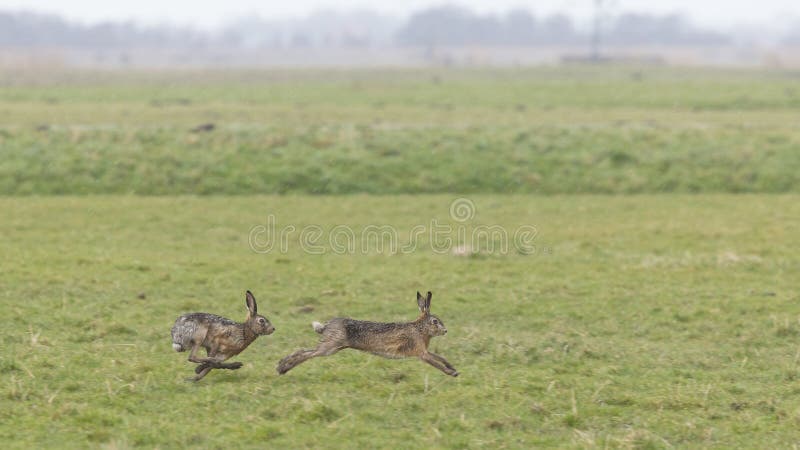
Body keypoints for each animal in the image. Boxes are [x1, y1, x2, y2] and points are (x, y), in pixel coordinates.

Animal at [277, 291, 458, 377]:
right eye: (435, 321)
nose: (445, 330)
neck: (420, 328)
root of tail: (327, 325)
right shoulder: (421, 353)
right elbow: (434, 362)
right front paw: (452, 373)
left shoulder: (424, 350)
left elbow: (440, 357)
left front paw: (453, 368)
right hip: (330, 346)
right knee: (307, 353)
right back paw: (282, 368)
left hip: (334, 346)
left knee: (304, 351)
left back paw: (281, 366)